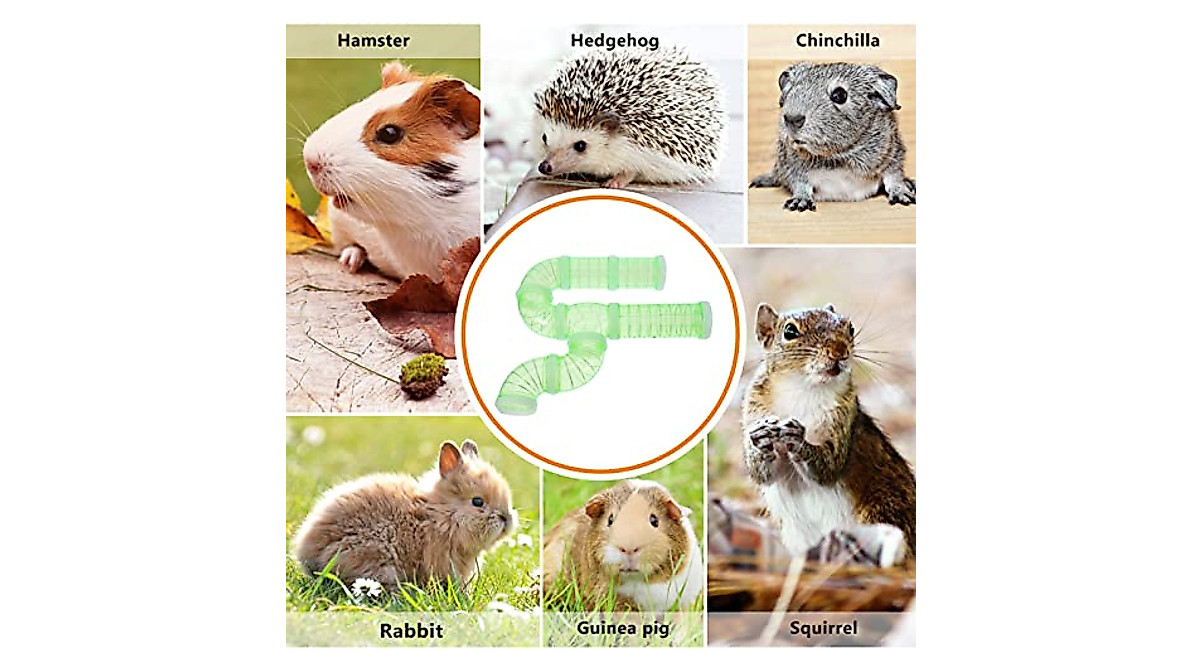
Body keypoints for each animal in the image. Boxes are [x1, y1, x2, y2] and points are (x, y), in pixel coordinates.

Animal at [749, 62, 915, 211]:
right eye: (790, 90)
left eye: (840, 95)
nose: (792, 119)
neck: (836, 157)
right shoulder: (792, 166)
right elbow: (800, 184)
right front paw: (799, 202)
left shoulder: (892, 155)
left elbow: (894, 178)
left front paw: (903, 196)